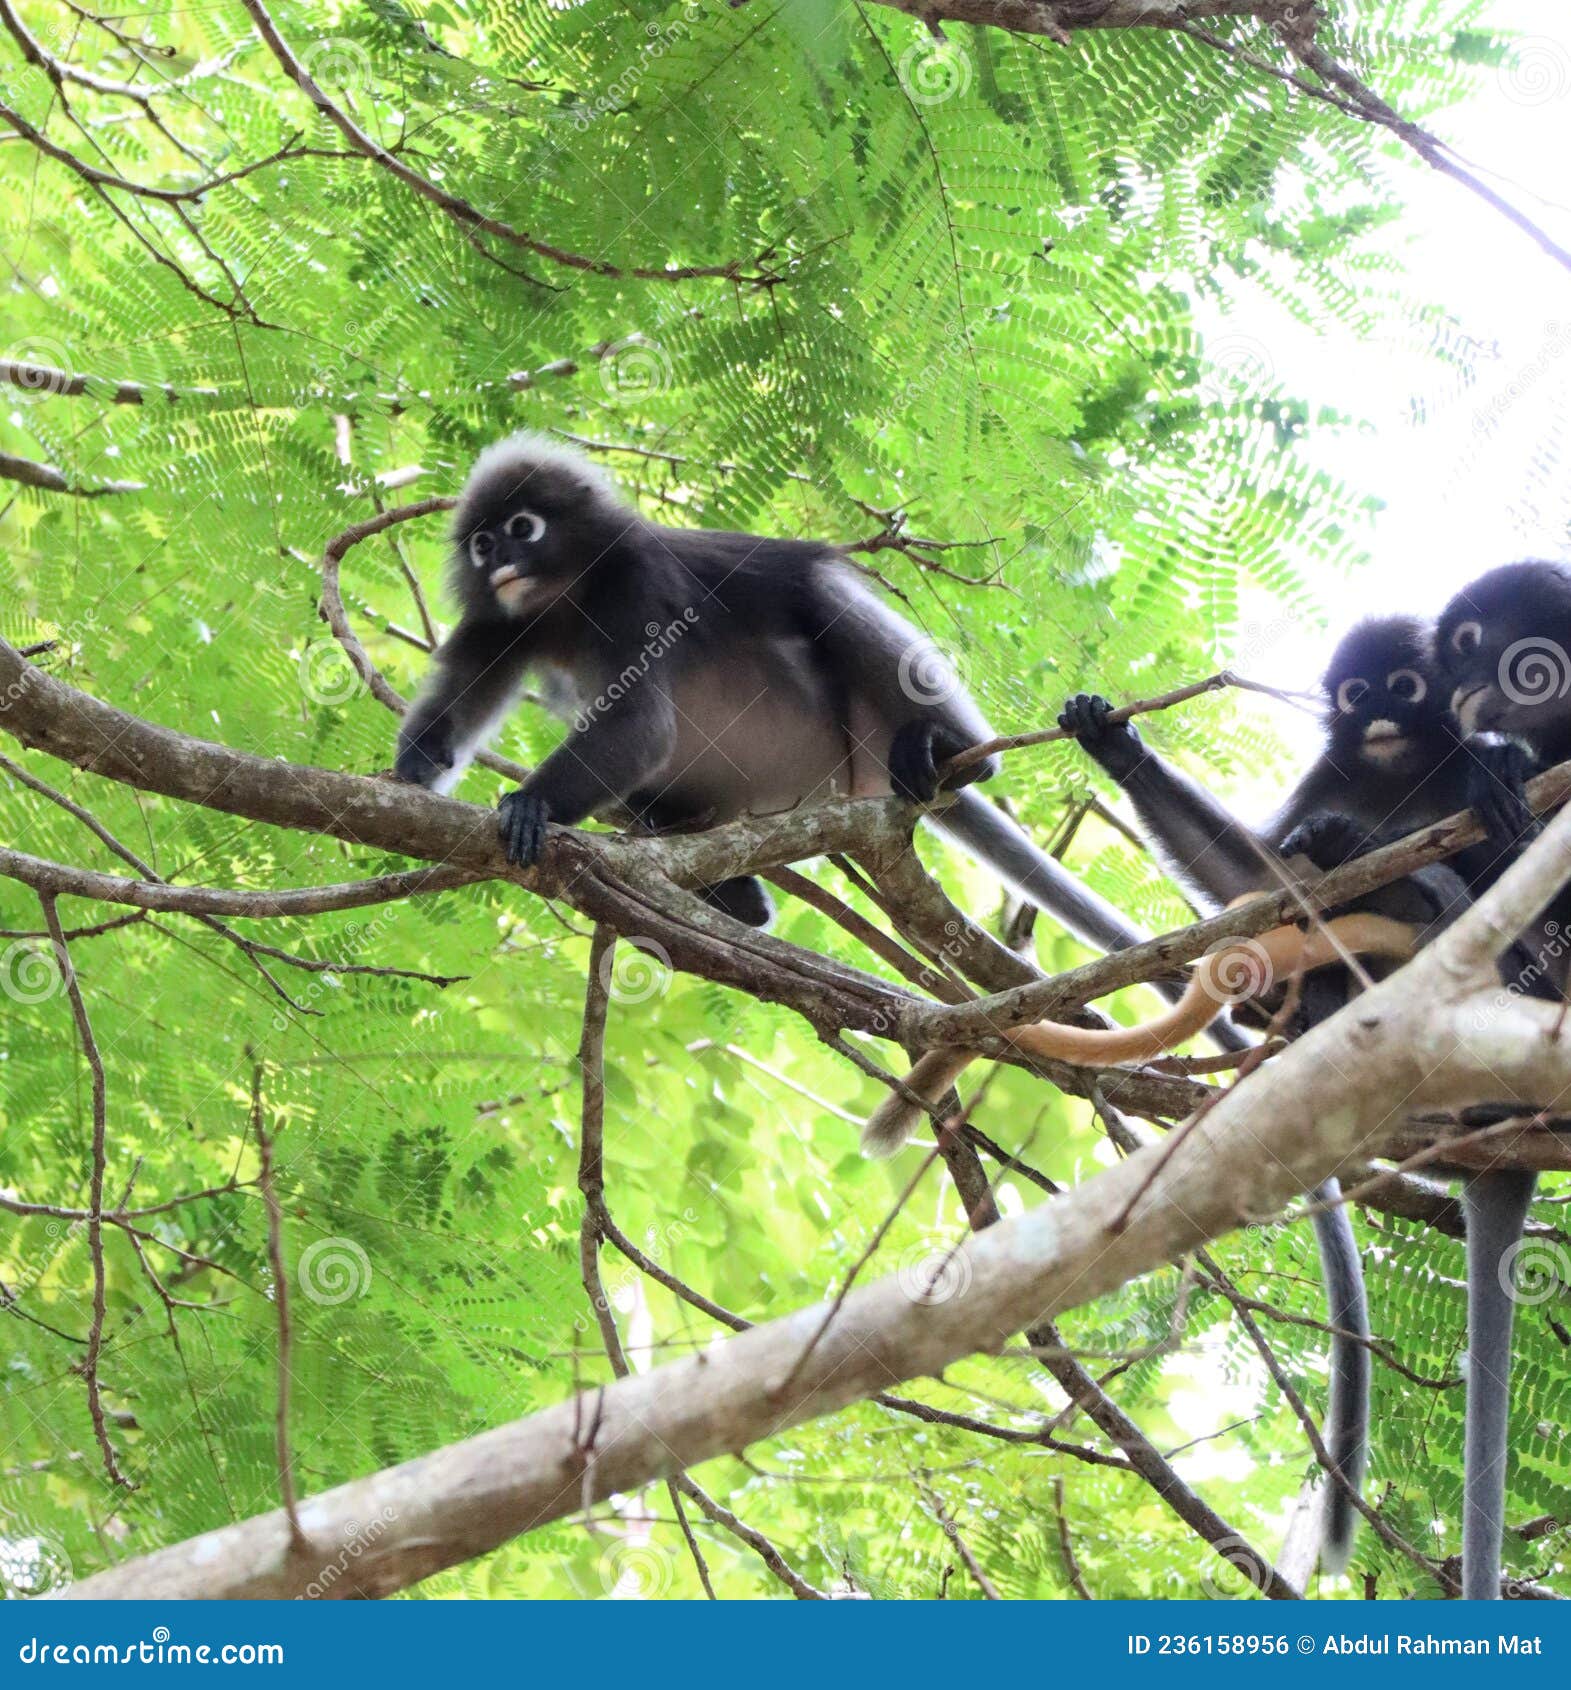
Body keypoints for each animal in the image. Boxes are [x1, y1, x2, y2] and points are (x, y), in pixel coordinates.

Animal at [393, 432, 1196, 961]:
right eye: (482, 544)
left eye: (522, 528)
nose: (500, 562)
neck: (566, 600)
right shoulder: (500, 620)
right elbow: (453, 716)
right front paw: (407, 780)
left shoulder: (635, 586)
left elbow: (643, 724)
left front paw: (528, 806)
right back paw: (736, 899)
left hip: (858, 733)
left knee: (819, 590)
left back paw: (955, 752)